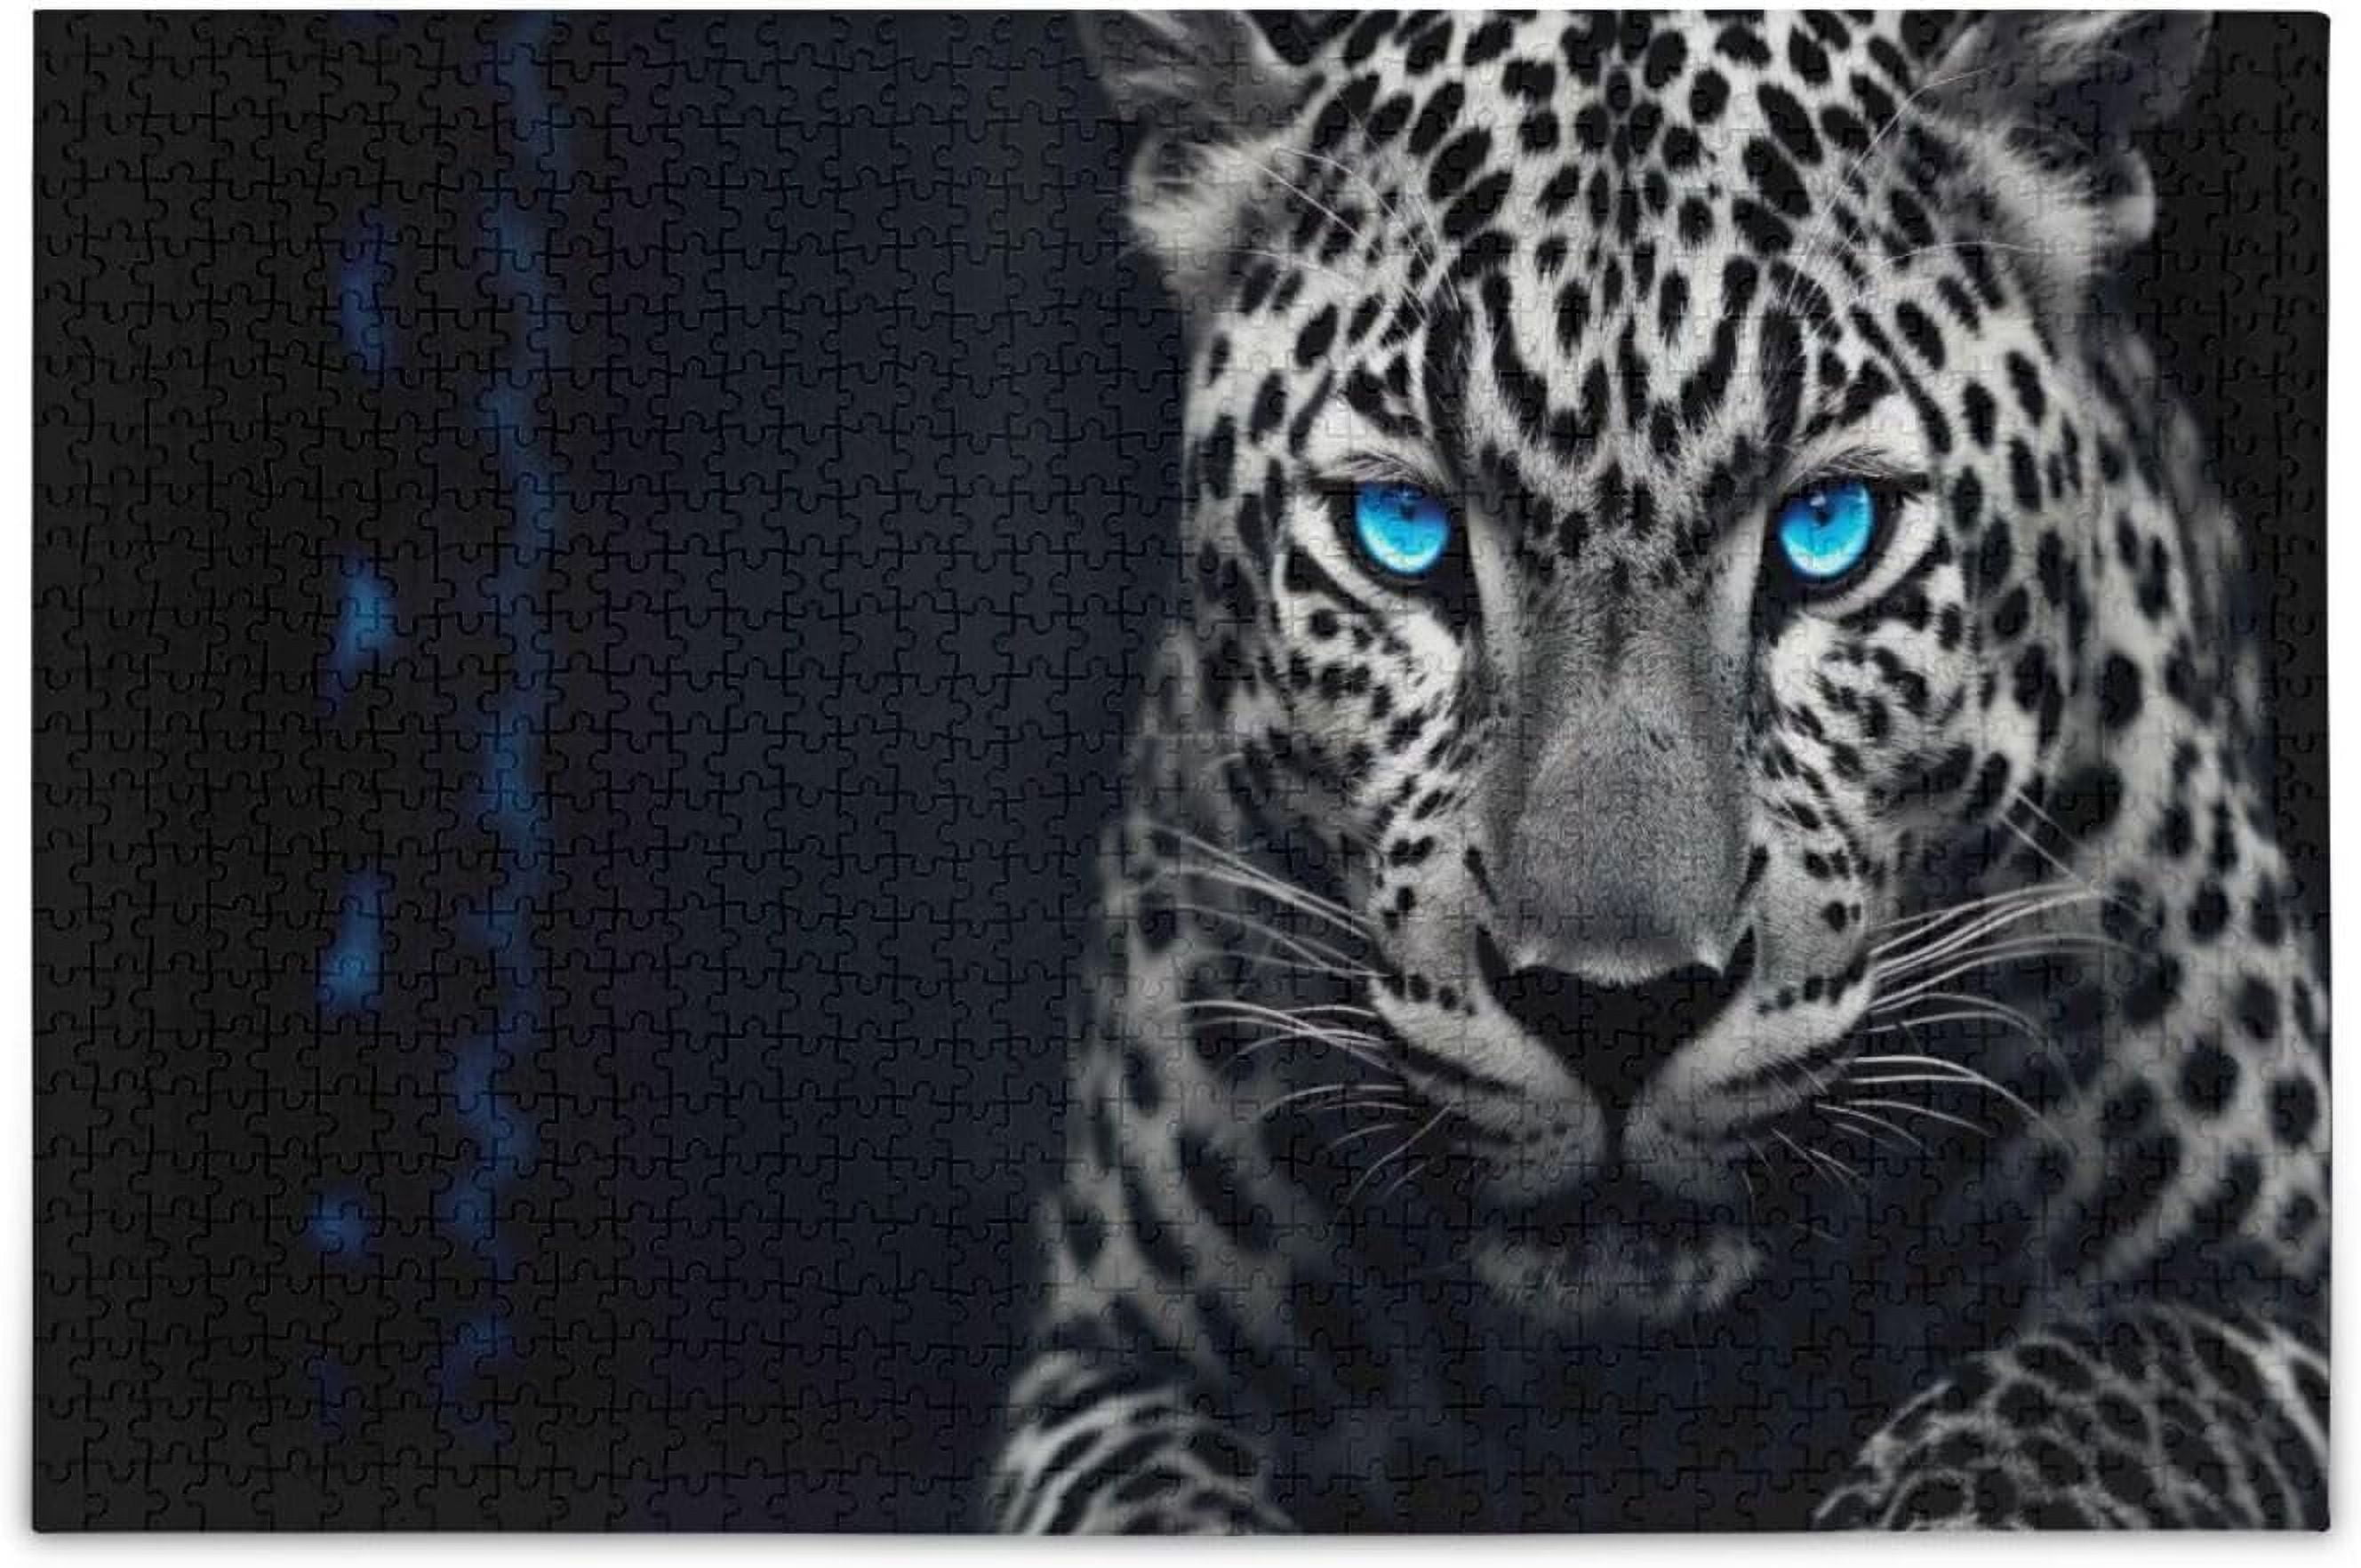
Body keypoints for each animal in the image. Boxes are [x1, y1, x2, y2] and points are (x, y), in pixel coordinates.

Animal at [987, 10, 2329, 1532]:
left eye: (1828, 530)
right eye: (1402, 531)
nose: (1612, 1013)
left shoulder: (2255, 1299)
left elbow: (2039, 1422)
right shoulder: (1112, 1364)